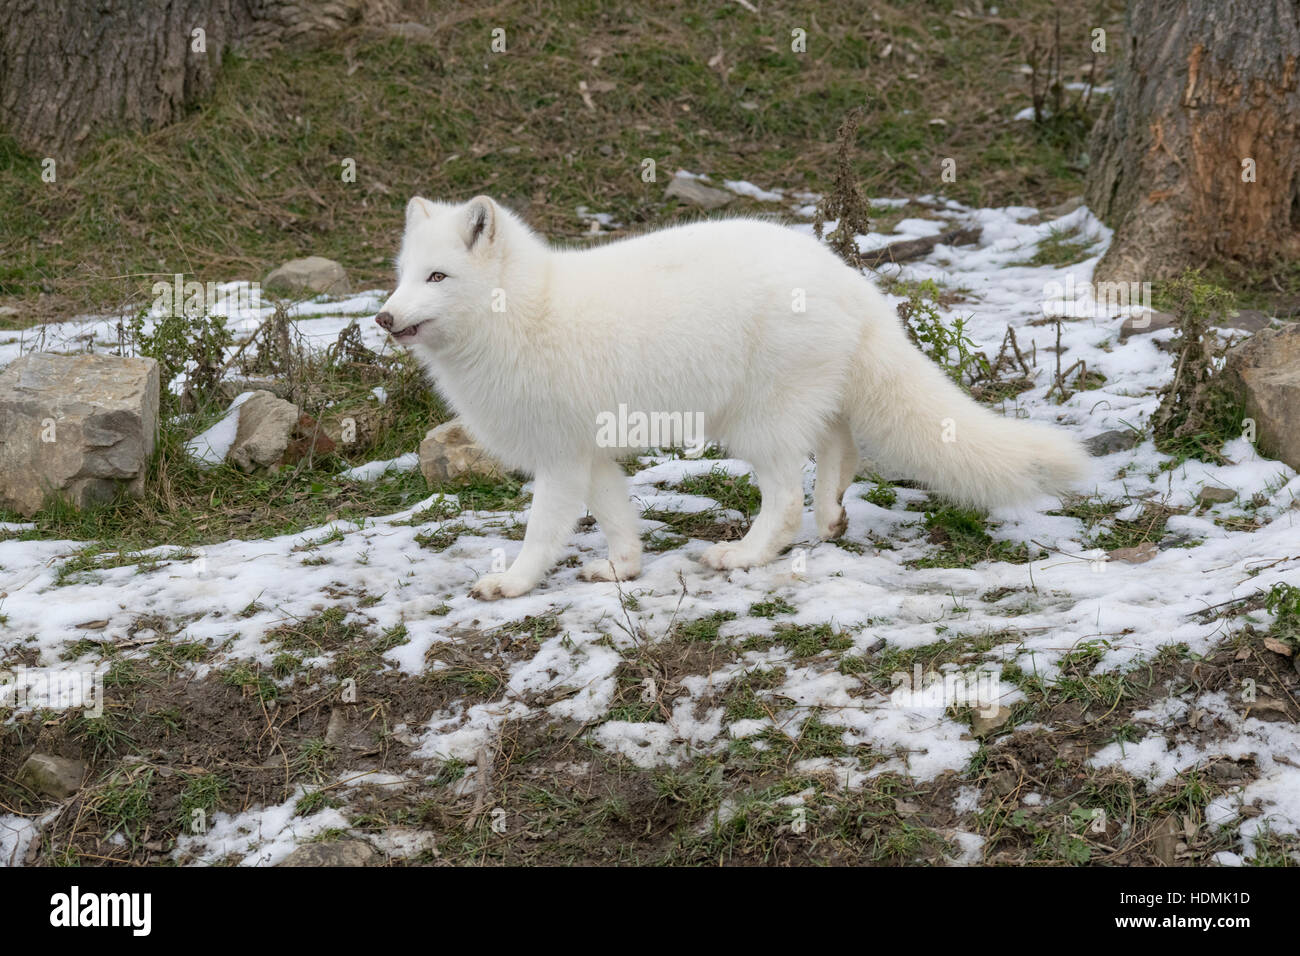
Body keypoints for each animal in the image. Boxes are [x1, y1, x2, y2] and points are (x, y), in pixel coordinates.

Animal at [377, 195, 1089, 600]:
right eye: (404, 276)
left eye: (438, 277)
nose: (383, 317)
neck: (523, 313)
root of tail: (850, 280)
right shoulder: (592, 454)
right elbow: (616, 518)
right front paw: (622, 571)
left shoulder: (559, 459)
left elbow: (542, 533)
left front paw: (514, 584)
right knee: (838, 444)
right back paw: (833, 511)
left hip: (754, 424)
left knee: (787, 499)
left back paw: (746, 553)